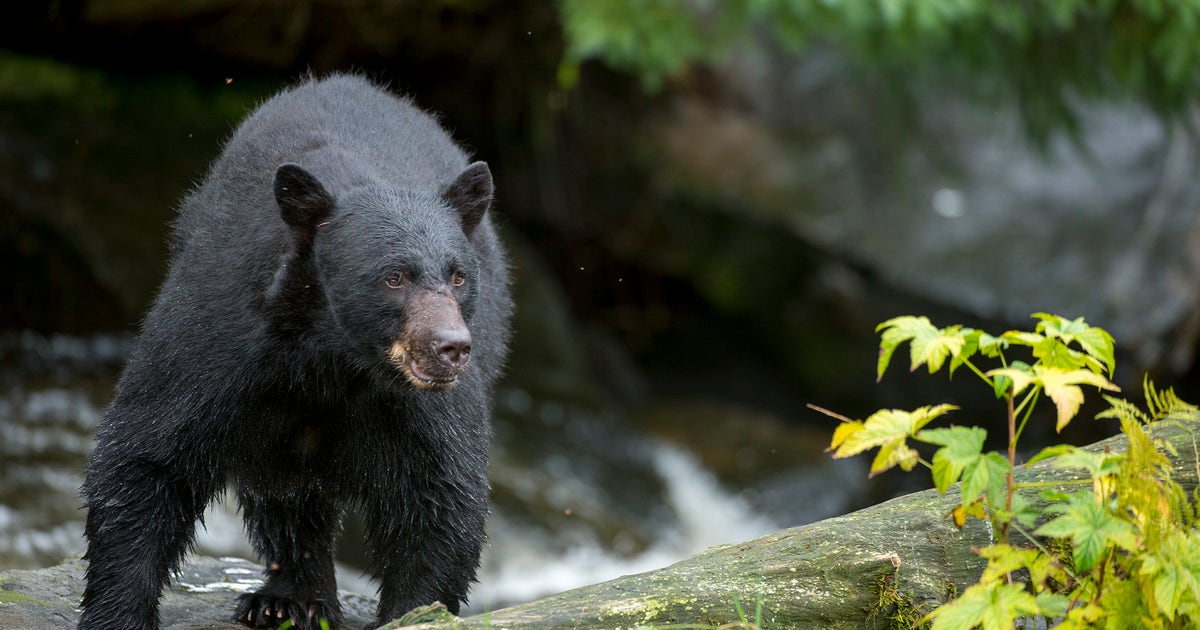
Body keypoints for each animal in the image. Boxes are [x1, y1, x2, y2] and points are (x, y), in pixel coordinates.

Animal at [77, 74, 512, 630]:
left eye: (457, 276)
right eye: (394, 277)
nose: (451, 348)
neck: (333, 359)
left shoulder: (418, 404)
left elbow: (439, 492)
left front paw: (414, 612)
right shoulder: (221, 339)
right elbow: (149, 454)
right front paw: (118, 613)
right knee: (285, 495)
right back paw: (289, 597)